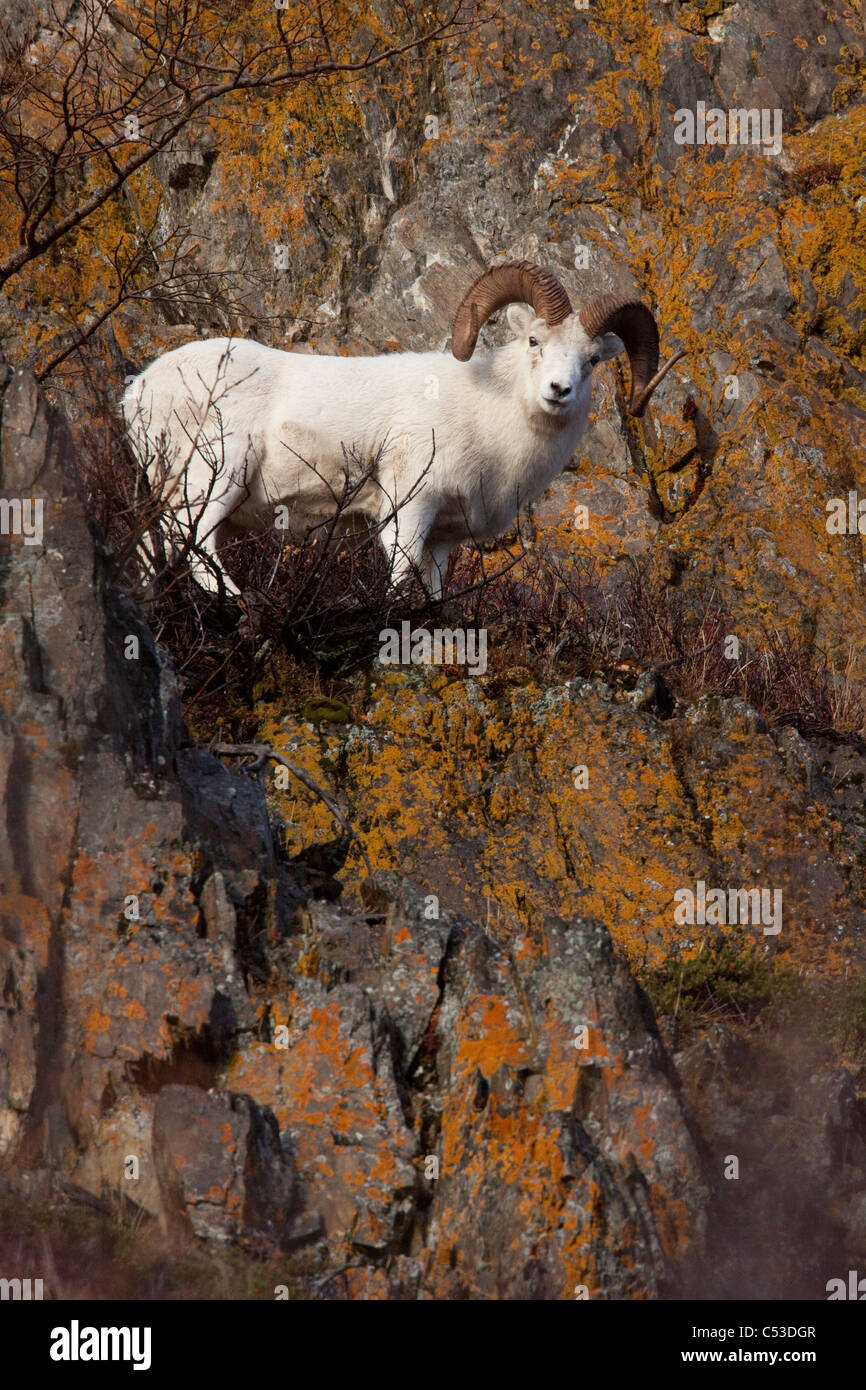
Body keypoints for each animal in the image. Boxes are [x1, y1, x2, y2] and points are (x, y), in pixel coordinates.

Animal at [122, 260, 683, 599]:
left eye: (591, 360)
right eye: (533, 341)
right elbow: (397, 584)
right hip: (217, 477)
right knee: (193, 541)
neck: (487, 417)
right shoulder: (407, 511)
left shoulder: (442, 541)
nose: (558, 390)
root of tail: (140, 390)